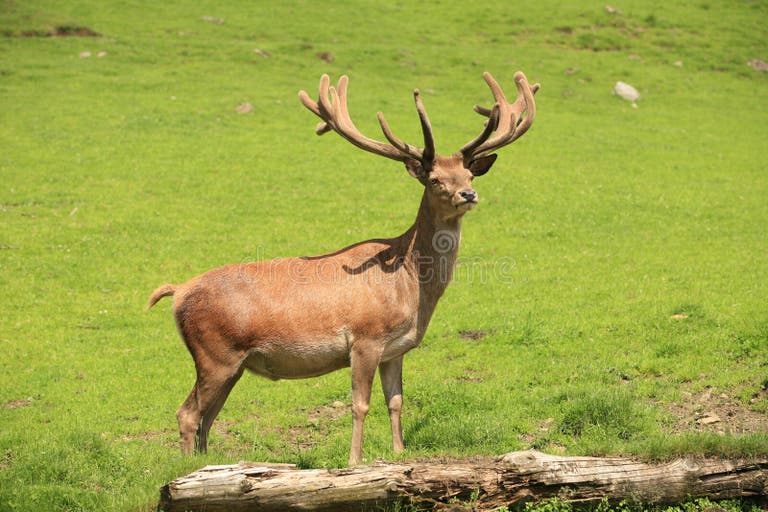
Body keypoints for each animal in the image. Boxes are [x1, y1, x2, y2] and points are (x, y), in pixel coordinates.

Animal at [147, 71, 538, 466]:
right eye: (434, 180)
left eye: (469, 176)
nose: (467, 195)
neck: (410, 284)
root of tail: (178, 292)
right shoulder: (365, 338)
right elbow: (360, 404)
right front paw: (355, 461)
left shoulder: (396, 349)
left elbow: (396, 401)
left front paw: (399, 453)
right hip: (215, 353)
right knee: (188, 413)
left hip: (234, 364)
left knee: (207, 417)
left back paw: (207, 464)